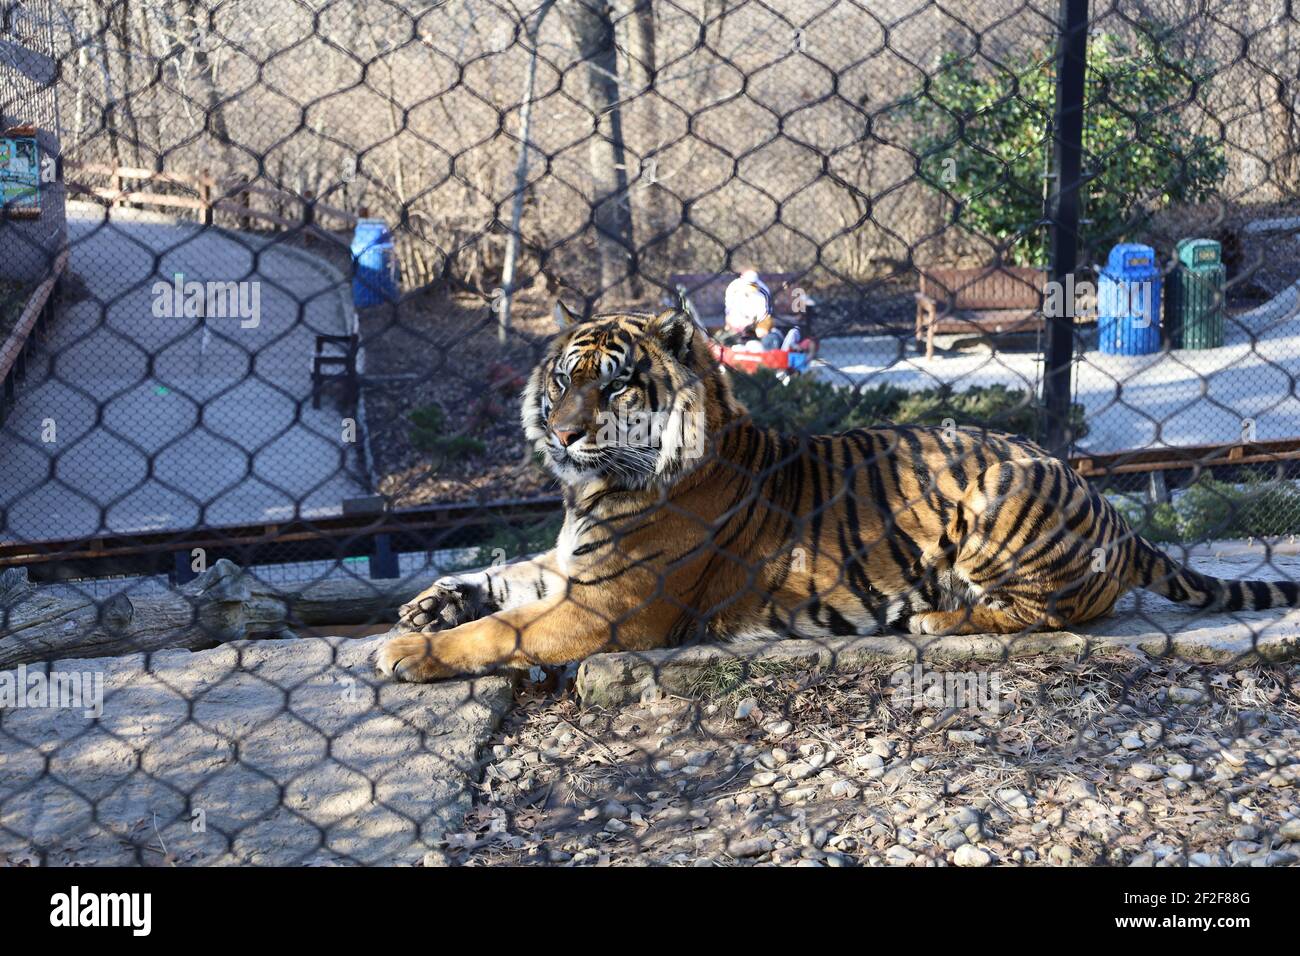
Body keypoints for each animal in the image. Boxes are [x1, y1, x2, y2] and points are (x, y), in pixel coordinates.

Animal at [376, 307, 1300, 682]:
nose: (565, 437)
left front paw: (409, 650)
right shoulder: (574, 570)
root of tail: (1106, 504)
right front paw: (427, 605)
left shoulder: (605, 607)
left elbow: (500, 630)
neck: (598, 492)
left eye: (613, 386)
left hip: (994, 494)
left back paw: (937, 619)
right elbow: (501, 579)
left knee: (1049, 612)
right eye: (564, 381)